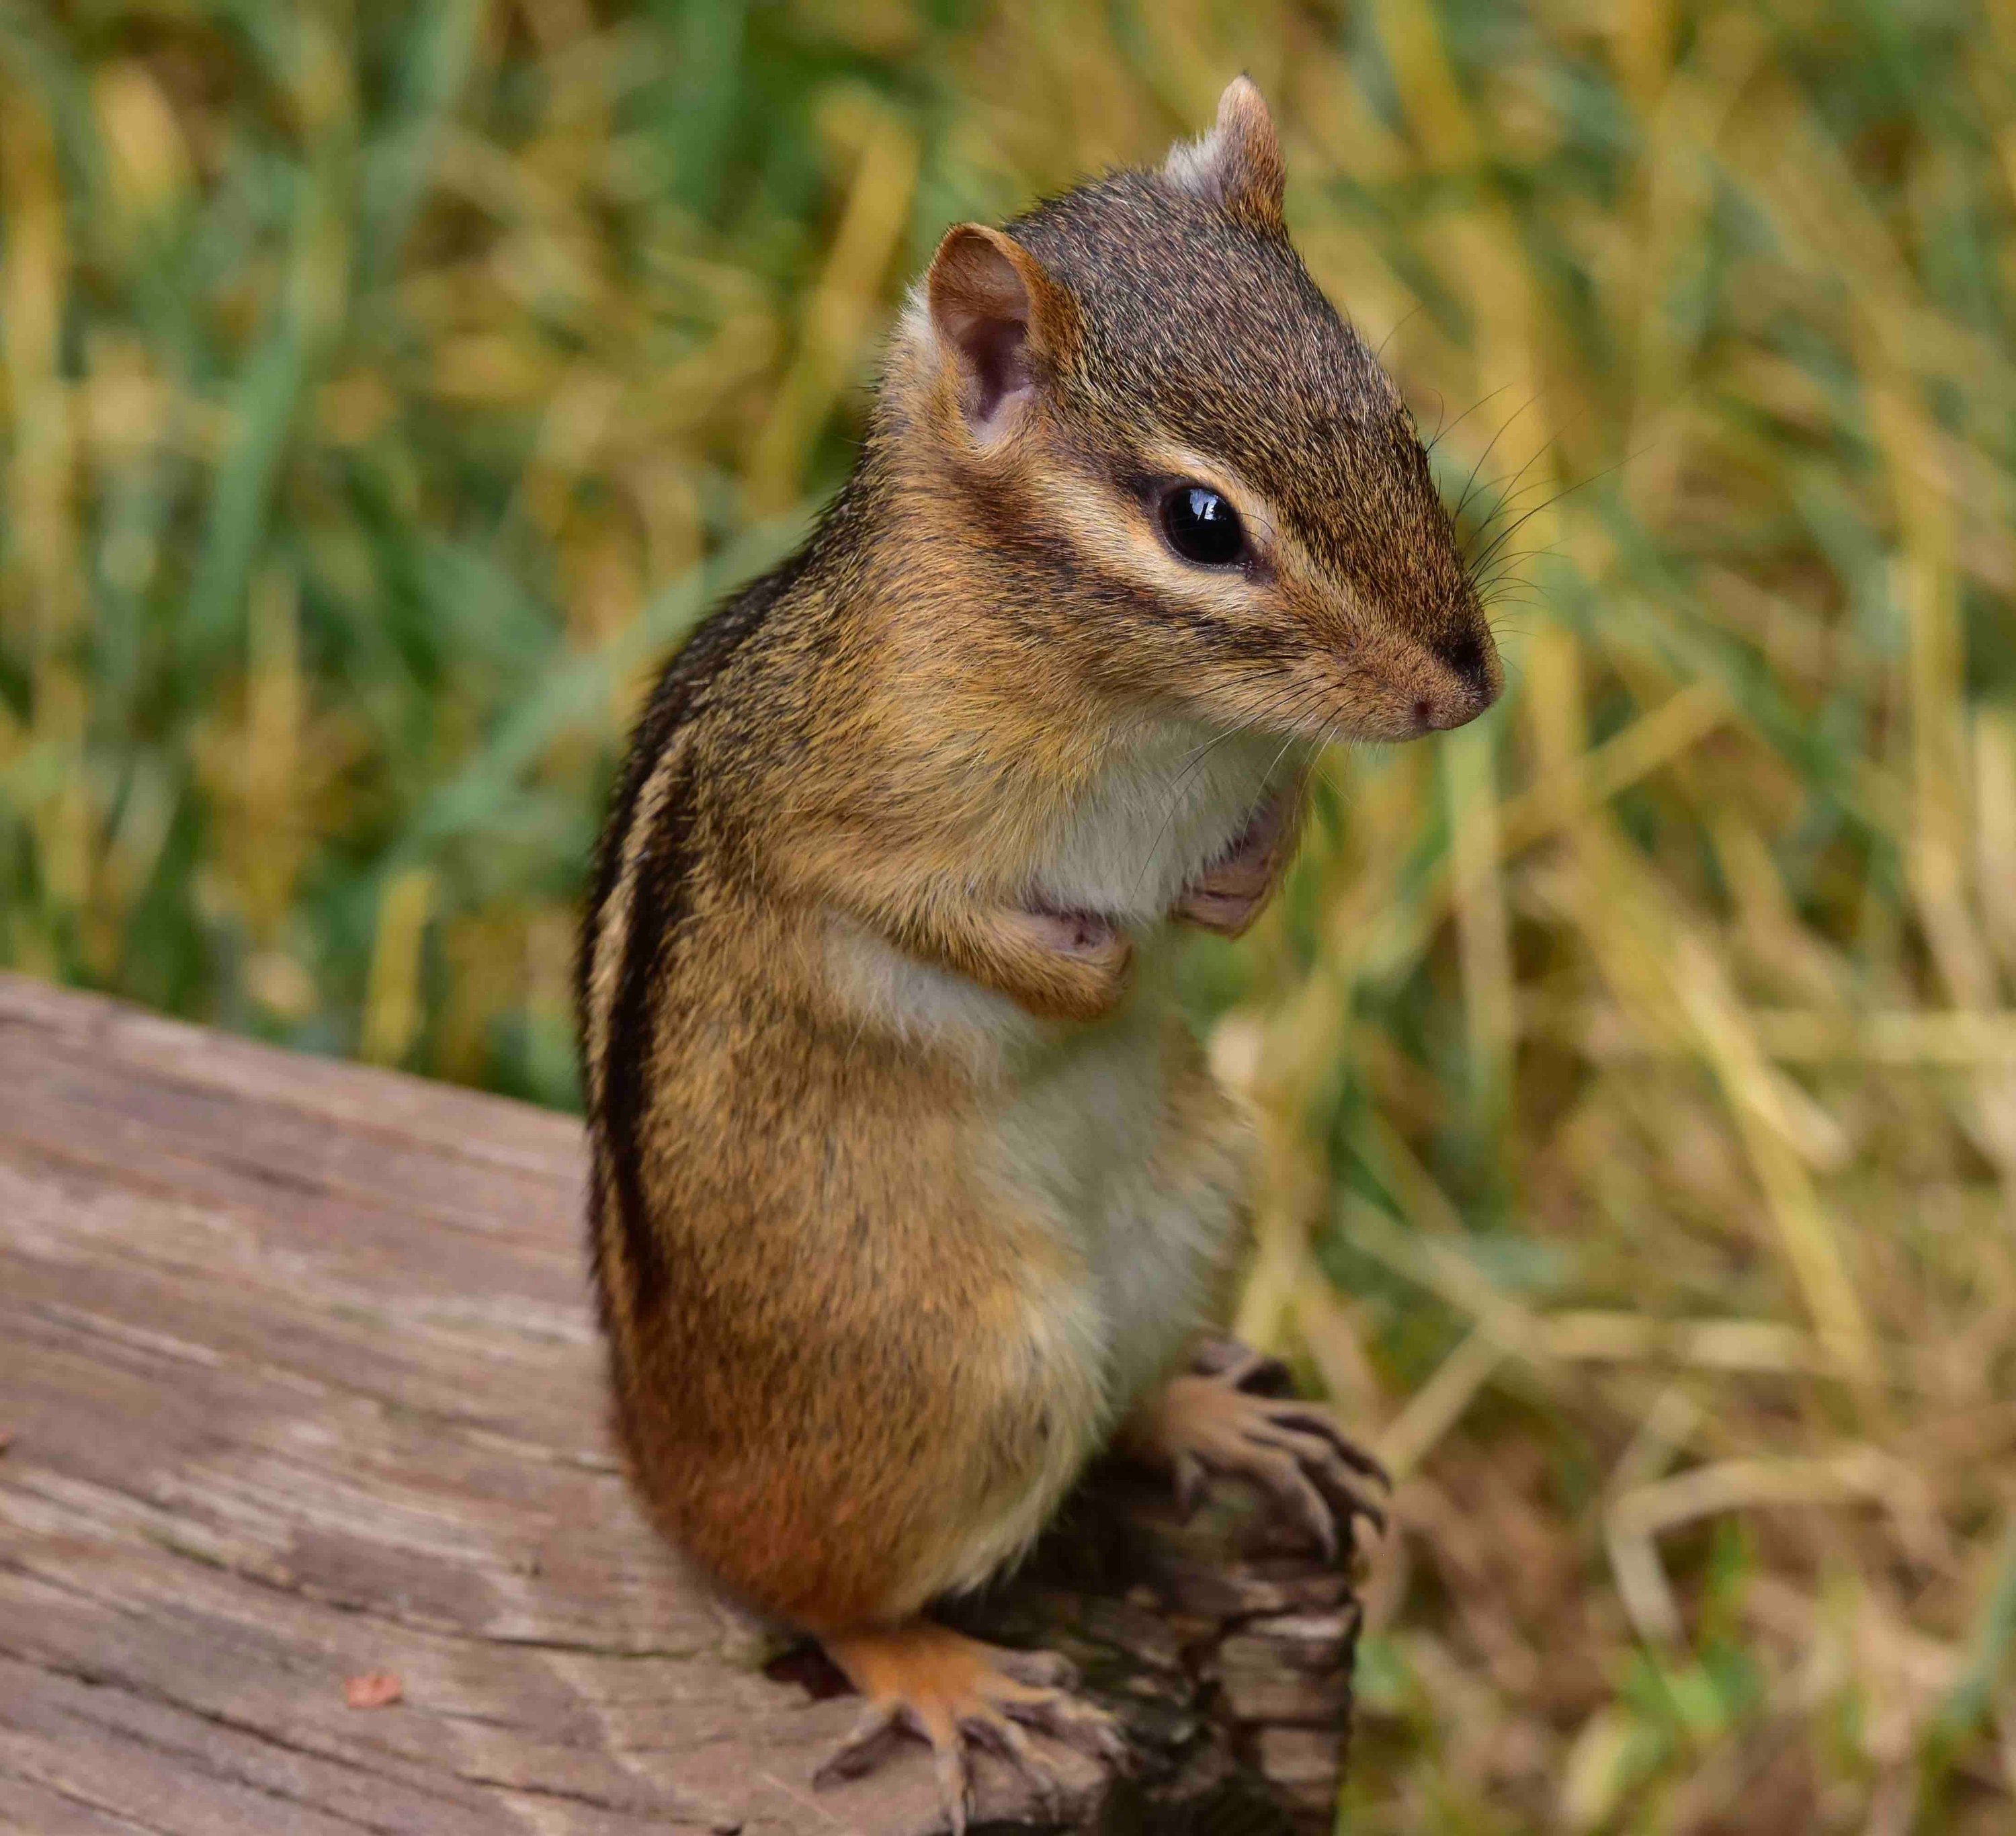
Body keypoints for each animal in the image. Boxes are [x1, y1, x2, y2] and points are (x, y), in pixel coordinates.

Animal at [578, 77, 1499, 1830]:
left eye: (1396, 427)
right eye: (1200, 522)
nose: (1465, 690)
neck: (1161, 719)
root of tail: (653, 1448)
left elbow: (1267, 836)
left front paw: (1230, 893)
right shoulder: (827, 817)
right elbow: (915, 915)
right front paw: (1099, 967)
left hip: (1191, 1206)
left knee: (1120, 1410)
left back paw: (1212, 1416)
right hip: (975, 1370)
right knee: (813, 1586)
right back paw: (942, 1676)